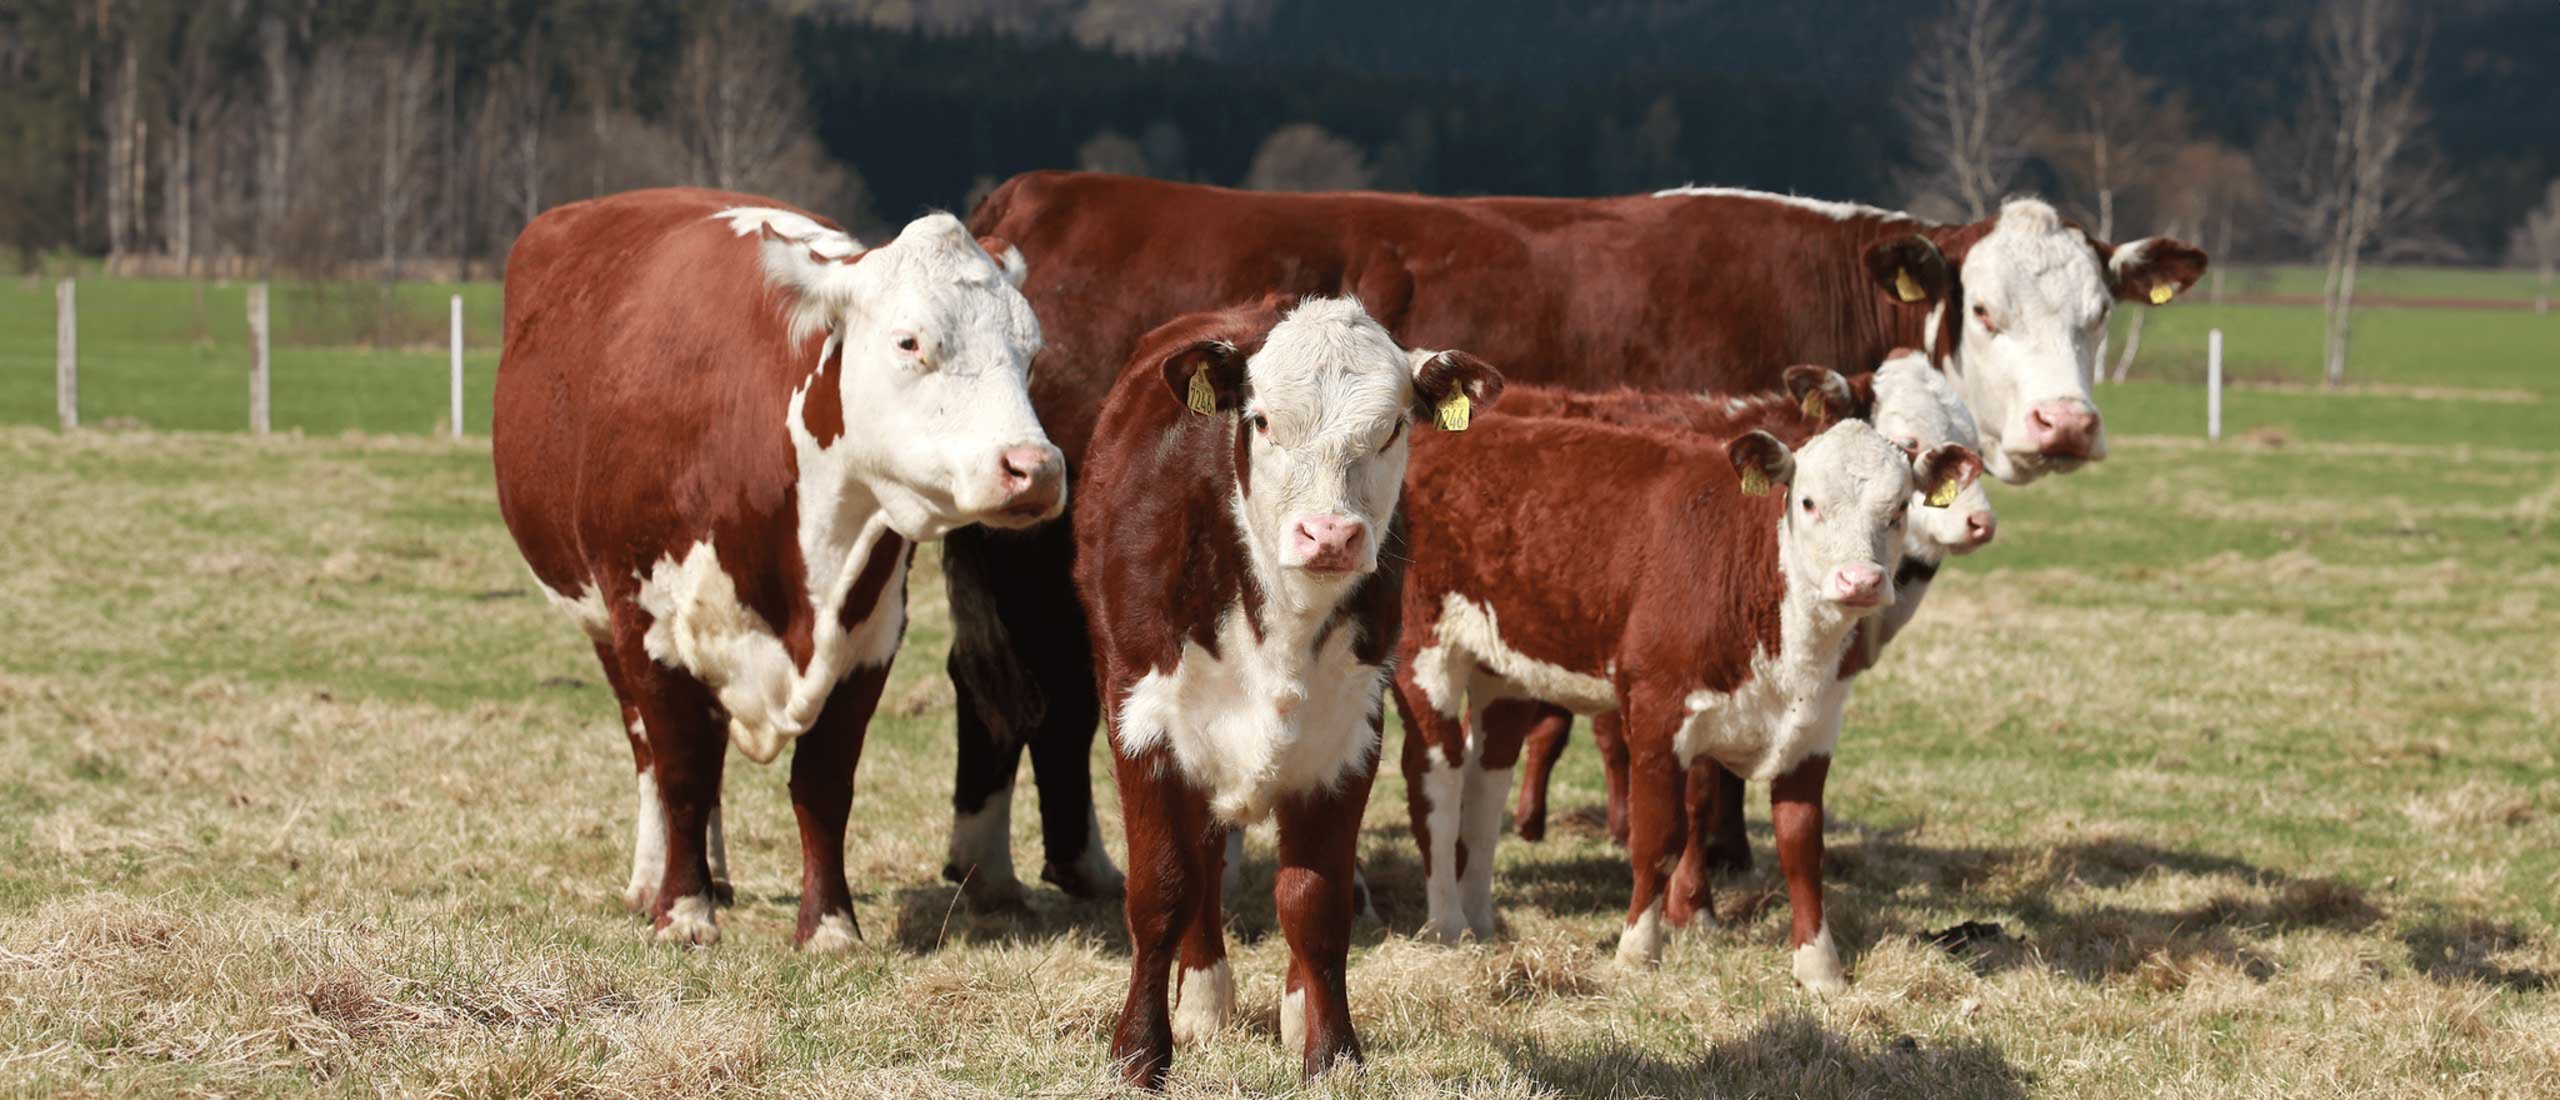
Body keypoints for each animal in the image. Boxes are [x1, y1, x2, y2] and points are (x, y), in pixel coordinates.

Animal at [492, 188, 1065, 951]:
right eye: (910, 342)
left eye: (1030, 355)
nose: (1035, 469)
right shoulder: (645, 620)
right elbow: (680, 769)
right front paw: (682, 911)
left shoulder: (870, 634)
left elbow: (822, 785)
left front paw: (828, 927)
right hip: (600, 619)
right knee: (649, 750)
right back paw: (654, 880)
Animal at [1075, 294, 1500, 1087]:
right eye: (1264, 420)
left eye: (1393, 427)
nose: (1328, 535)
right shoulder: (1144, 721)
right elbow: (1162, 889)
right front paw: (1138, 1054)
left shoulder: (1350, 736)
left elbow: (1316, 903)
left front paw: (1331, 1054)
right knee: (1202, 863)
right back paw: (1204, 1002)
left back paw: (1293, 1010)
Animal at [1394, 411, 1977, 991]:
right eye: (1809, 502)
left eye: (1899, 508)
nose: (1860, 580)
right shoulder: (1657, 711)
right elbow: (1657, 839)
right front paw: (1637, 954)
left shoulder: (1815, 726)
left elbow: (1801, 848)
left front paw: (1820, 969)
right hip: (1424, 648)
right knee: (1435, 776)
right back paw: (1446, 926)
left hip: (1501, 668)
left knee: (1486, 779)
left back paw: (1480, 921)